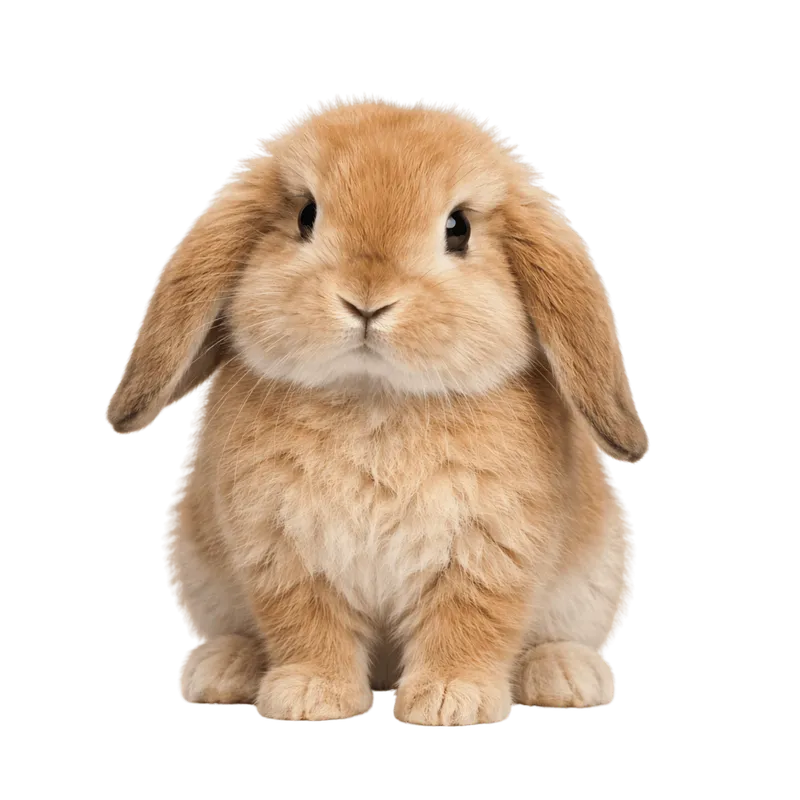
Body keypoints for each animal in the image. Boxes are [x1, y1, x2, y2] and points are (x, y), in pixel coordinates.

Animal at [105, 95, 648, 726]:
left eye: (458, 228)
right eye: (306, 216)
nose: (367, 299)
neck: (377, 398)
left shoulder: (488, 555)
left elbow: (470, 624)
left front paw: (450, 700)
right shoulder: (287, 554)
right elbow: (307, 625)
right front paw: (311, 695)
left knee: (558, 640)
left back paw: (565, 678)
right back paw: (222, 672)